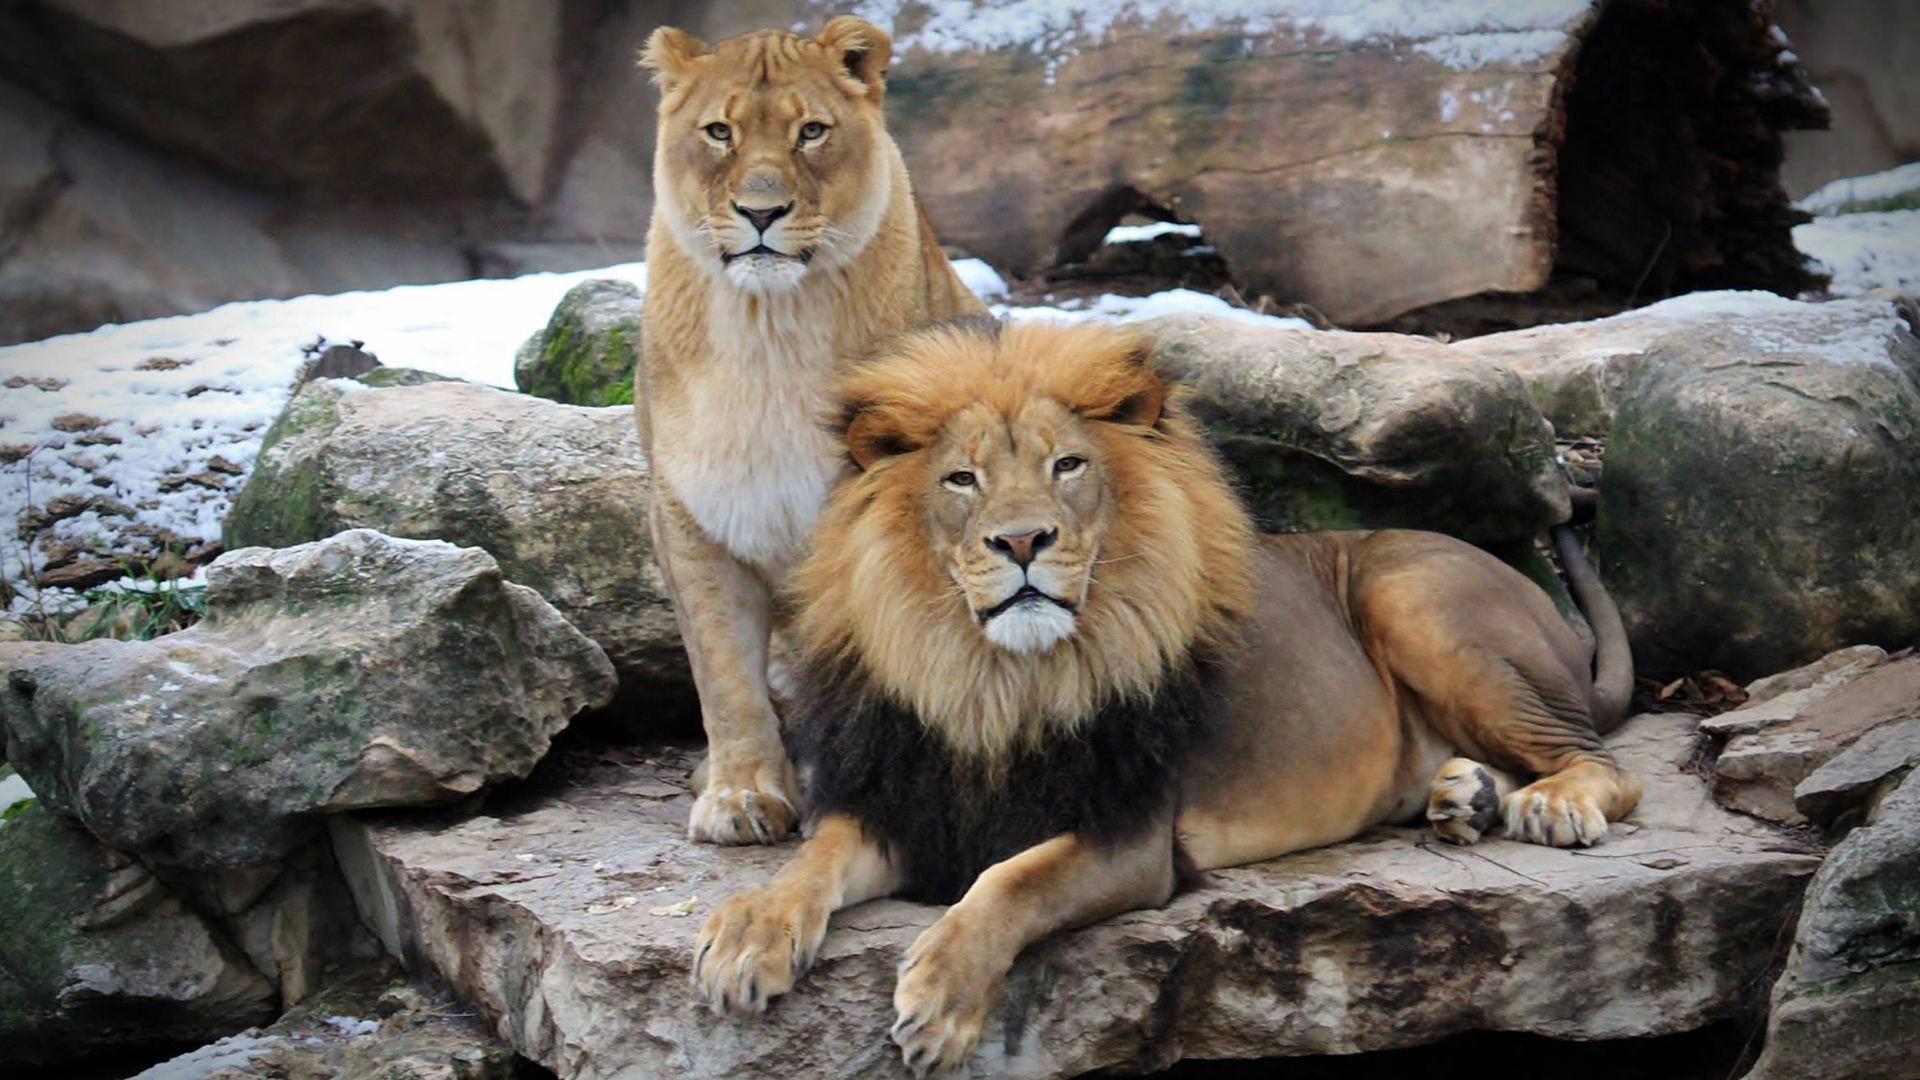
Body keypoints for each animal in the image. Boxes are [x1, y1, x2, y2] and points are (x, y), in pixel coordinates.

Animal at [634, 17, 986, 844]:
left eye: (812, 132)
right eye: (720, 132)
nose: (761, 213)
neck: (768, 327)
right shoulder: (691, 512)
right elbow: (725, 673)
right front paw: (740, 794)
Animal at [691, 317, 1642, 1073]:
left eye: (1067, 466)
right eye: (962, 480)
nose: (1023, 540)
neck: (991, 681)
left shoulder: (1131, 836)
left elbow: (1011, 883)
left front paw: (941, 999)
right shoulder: (905, 805)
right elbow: (809, 861)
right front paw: (745, 938)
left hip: (1410, 597)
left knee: (1604, 764)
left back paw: (1549, 805)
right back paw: (1464, 795)